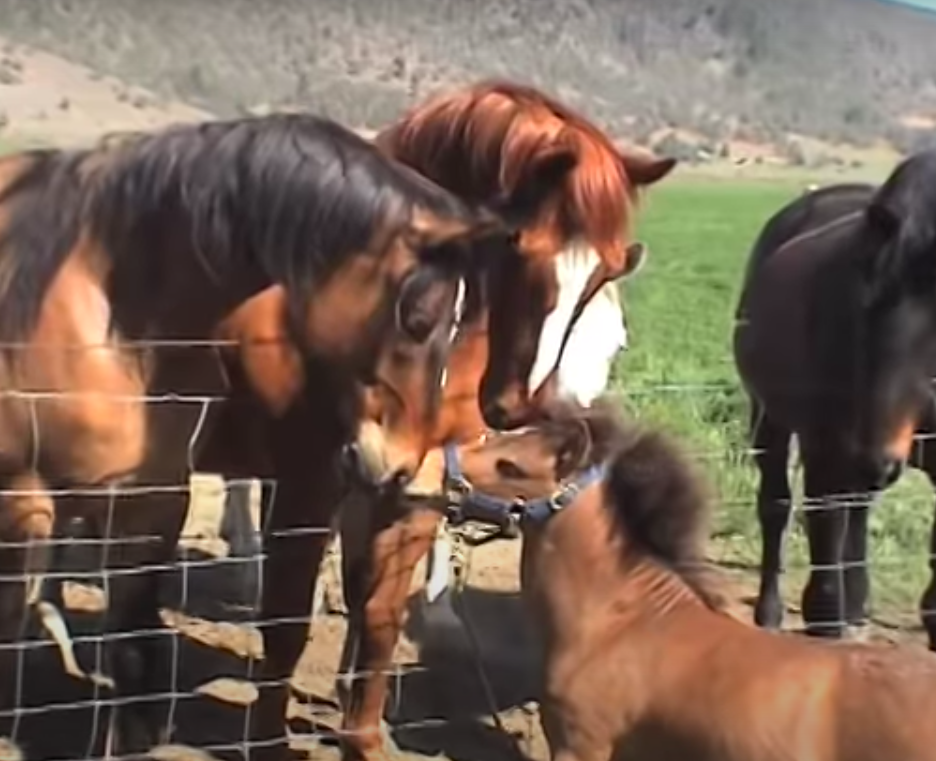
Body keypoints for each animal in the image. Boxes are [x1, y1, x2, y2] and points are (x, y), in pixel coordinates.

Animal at [334, 78, 675, 761]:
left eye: (606, 270)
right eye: (519, 243)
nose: (525, 405)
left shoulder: (415, 476)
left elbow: (379, 604)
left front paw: (360, 722)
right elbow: (364, 594)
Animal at [734, 153, 936, 648]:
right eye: (865, 302)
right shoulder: (826, 444)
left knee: (856, 509)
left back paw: (858, 606)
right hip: (771, 419)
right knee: (778, 506)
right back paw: (772, 612)